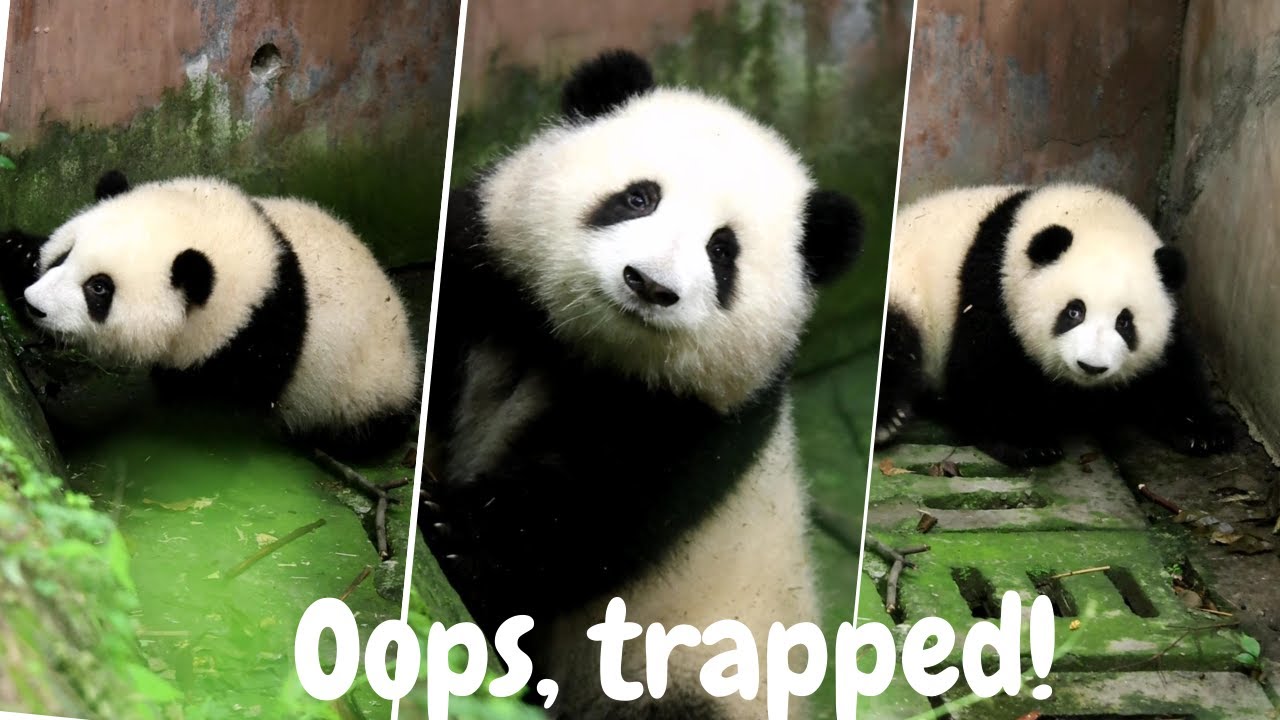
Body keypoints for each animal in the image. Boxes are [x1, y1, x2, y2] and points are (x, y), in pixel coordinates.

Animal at [0, 171, 421, 458]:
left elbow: (214, 406)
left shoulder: (253, 339)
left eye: (99, 288)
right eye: (63, 255)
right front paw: (18, 252)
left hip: (364, 389)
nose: (35, 304)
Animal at [420, 50, 862, 719]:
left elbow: (580, 516)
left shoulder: (699, 423)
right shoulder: (488, 270)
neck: (580, 349)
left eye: (722, 251)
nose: (649, 283)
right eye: (636, 198)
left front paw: (457, 537)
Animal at [875, 183, 1232, 467]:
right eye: (1074, 311)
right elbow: (986, 372)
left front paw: (1202, 431)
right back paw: (886, 421)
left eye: (1125, 322)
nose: (1091, 366)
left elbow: (1171, 369)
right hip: (905, 293)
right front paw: (1028, 443)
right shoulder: (990, 292)